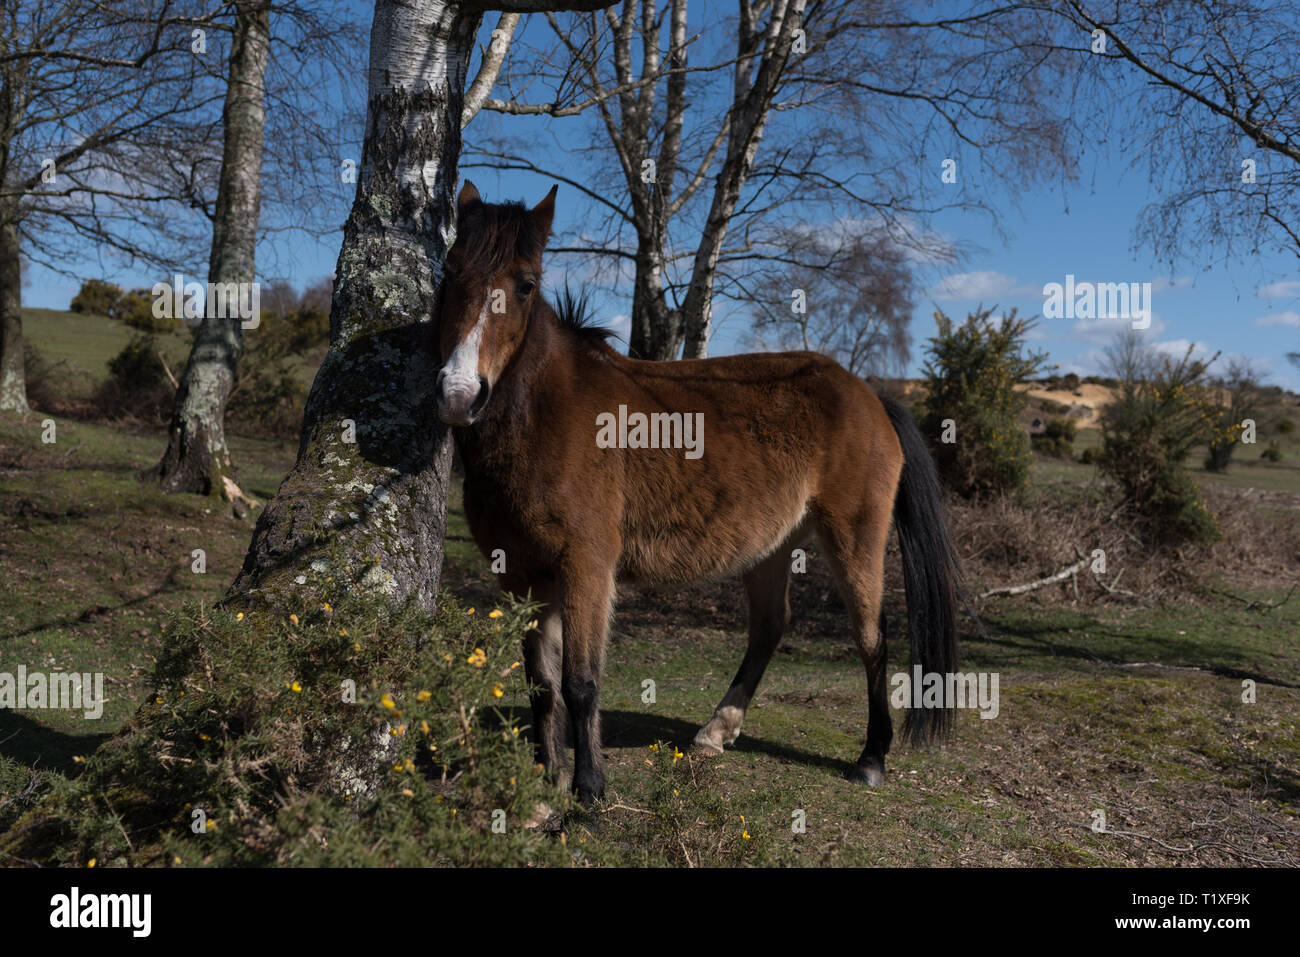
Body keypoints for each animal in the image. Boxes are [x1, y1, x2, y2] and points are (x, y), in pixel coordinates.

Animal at [436, 180, 961, 807]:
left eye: (525, 284)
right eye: (449, 268)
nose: (459, 395)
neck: (546, 415)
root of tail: (867, 393)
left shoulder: (586, 567)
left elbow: (581, 681)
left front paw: (589, 792)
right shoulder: (520, 576)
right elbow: (542, 684)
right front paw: (545, 785)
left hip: (854, 537)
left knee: (871, 638)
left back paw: (871, 758)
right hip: (771, 548)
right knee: (770, 627)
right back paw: (717, 729)